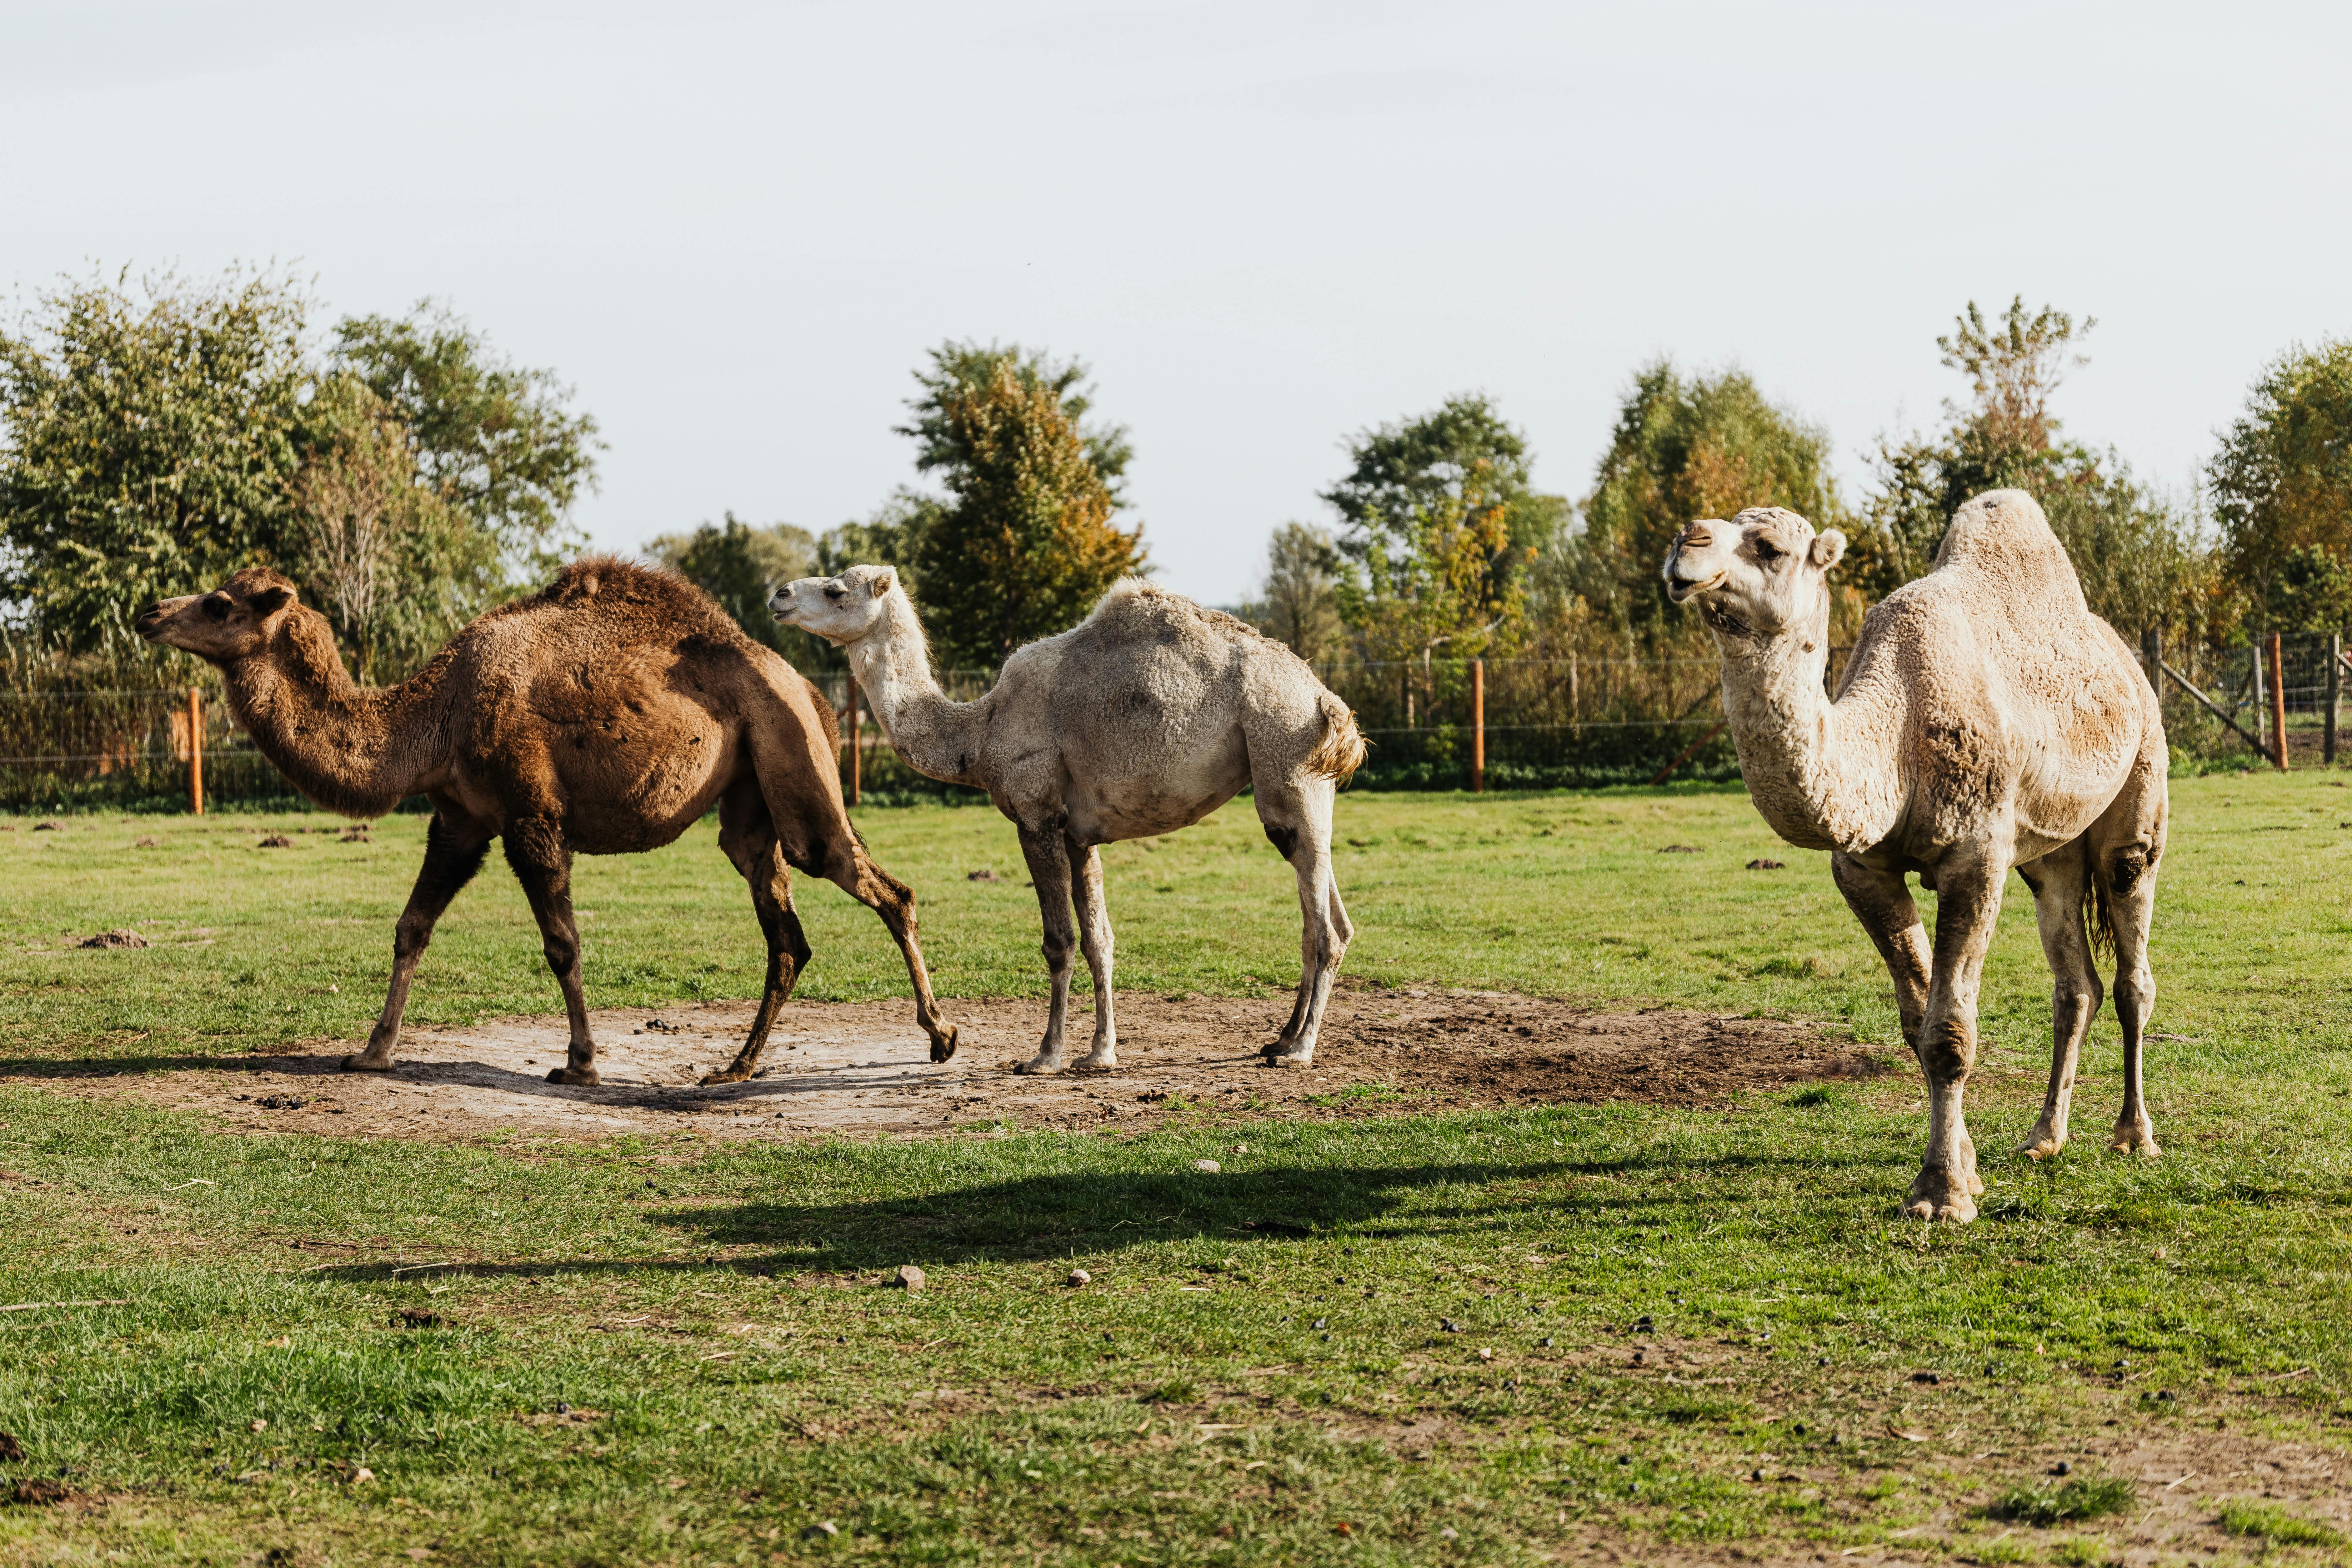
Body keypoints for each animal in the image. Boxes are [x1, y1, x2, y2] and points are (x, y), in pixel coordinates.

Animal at [136, 559, 958, 1086]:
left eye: (219, 603)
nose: (148, 612)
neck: (435, 717)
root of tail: (809, 690)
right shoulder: (461, 820)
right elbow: (411, 926)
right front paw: (372, 1052)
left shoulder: (531, 815)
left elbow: (562, 944)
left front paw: (581, 1062)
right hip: (749, 804)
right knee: (787, 934)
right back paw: (735, 1067)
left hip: (794, 765)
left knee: (878, 885)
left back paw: (941, 1037)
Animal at [770, 566, 1365, 1073]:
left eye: (835, 590)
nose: (778, 595)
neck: (978, 732)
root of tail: (1327, 699)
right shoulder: (1080, 833)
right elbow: (1099, 937)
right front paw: (1100, 1052)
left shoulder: (1036, 816)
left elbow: (1059, 940)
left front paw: (1044, 1055)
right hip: (1306, 786)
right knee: (1324, 912)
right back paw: (1280, 1039)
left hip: (1283, 756)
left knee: (1325, 925)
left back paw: (1300, 1050)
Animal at [1663, 489, 2167, 1223]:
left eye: (1769, 548)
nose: (1686, 542)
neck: (1893, 739)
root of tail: (2127, 662)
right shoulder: (1862, 869)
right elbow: (1916, 1020)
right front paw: (1967, 1166)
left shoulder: (1975, 855)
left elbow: (1949, 1031)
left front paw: (1940, 1193)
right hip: (2047, 854)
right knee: (2077, 984)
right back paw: (2043, 1137)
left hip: (2139, 789)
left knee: (2132, 968)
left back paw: (2133, 1135)